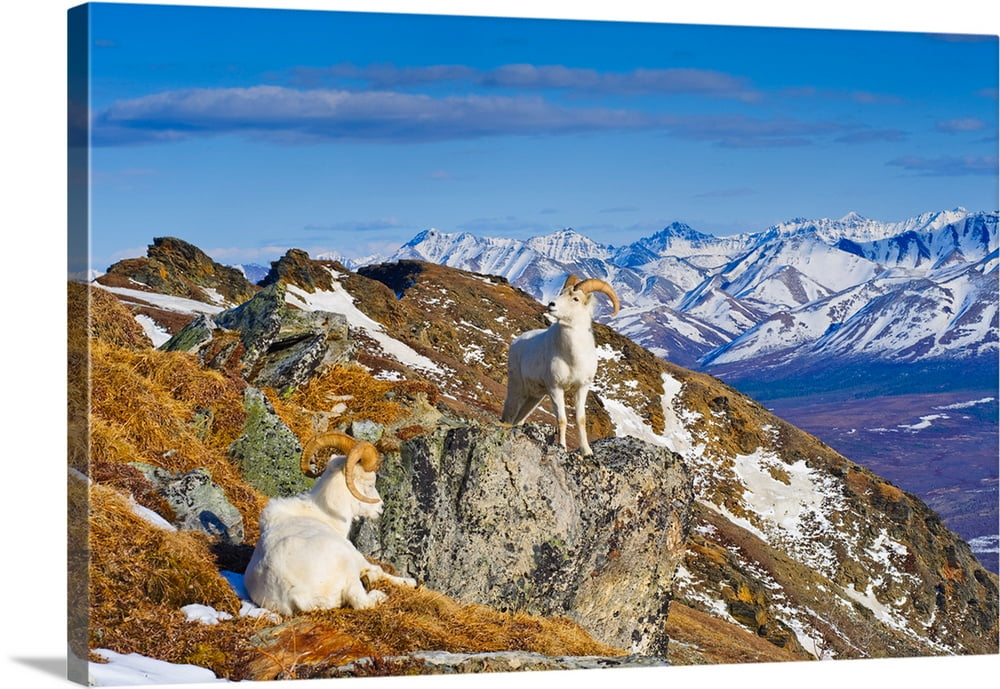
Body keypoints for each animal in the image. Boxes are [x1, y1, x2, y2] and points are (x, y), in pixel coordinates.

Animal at [244, 431, 417, 615]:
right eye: (370, 483)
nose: (381, 508)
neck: (322, 514)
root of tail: (296, 595)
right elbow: (379, 571)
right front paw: (411, 582)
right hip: (346, 564)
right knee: (362, 600)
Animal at [501, 274, 620, 456]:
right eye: (561, 293)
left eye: (575, 298)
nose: (551, 305)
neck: (572, 358)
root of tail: (516, 342)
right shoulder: (556, 388)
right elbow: (562, 419)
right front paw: (562, 447)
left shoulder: (582, 387)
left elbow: (580, 419)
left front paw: (586, 451)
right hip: (517, 389)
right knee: (509, 412)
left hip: (535, 397)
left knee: (520, 418)